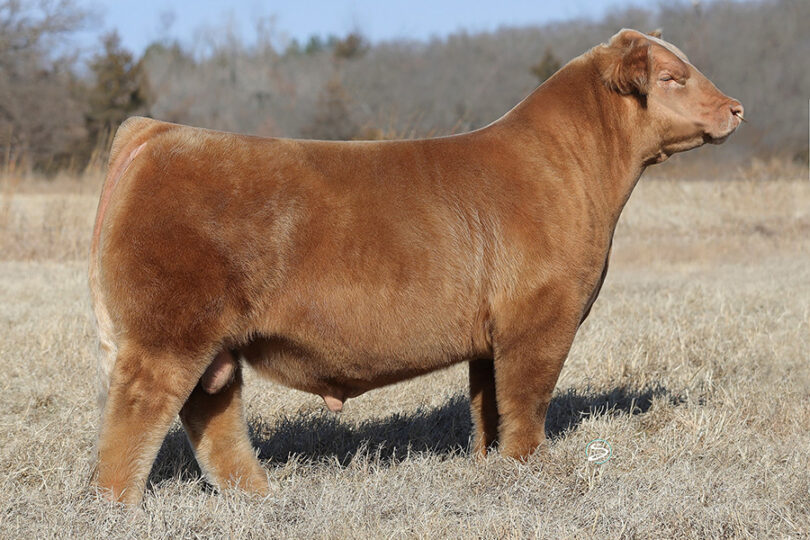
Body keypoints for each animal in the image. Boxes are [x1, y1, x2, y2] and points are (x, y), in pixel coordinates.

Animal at [88, 29, 743, 503]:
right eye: (672, 77)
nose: (736, 108)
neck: (578, 172)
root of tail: (159, 133)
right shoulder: (541, 319)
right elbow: (527, 400)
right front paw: (530, 470)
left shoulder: (491, 337)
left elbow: (489, 405)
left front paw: (489, 466)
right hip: (166, 334)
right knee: (136, 416)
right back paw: (120, 508)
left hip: (211, 345)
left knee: (213, 415)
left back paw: (256, 497)